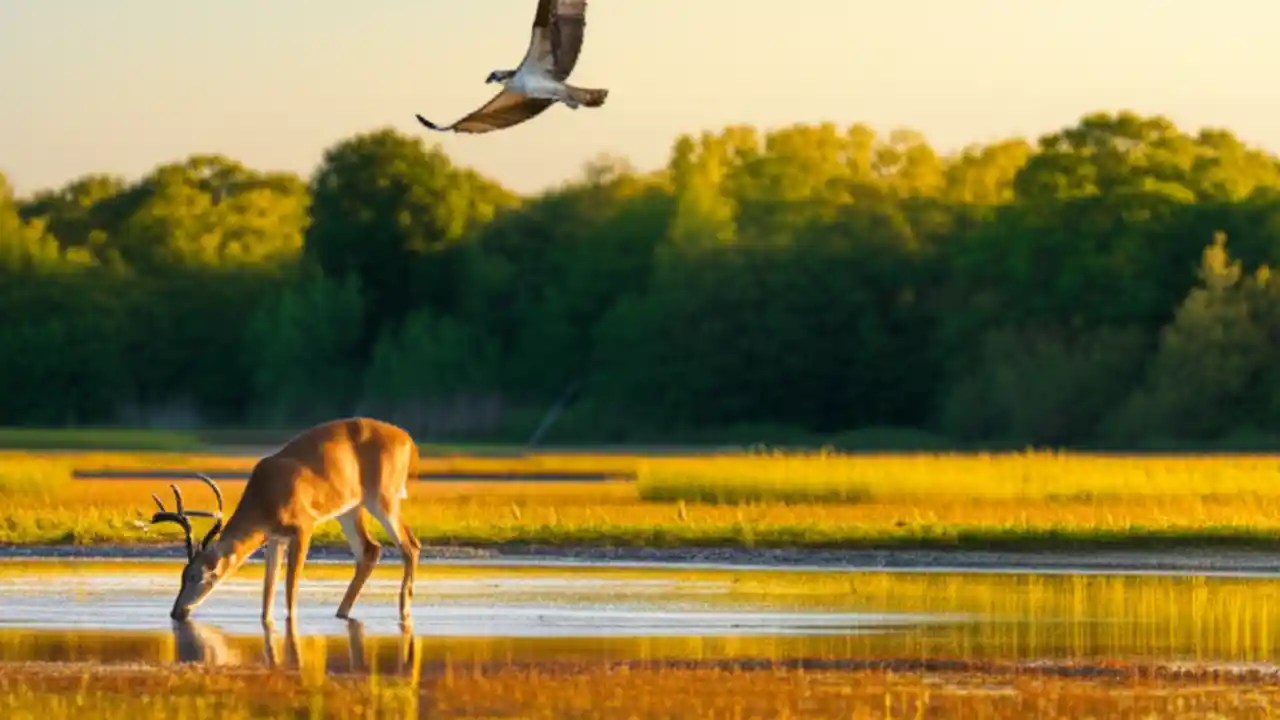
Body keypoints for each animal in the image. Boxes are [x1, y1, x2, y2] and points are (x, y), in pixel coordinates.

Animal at [146, 417, 422, 626]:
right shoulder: (274, 539)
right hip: (350, 510)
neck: (266, 494)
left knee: (410, 545)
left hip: (383, 501)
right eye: (182, 576)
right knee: (370, 550)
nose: (177, 612)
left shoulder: (303, 529)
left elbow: (290, 588)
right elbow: (267, 592)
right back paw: (342, 613)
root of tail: (407, 439)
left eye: (196, 575)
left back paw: (404, 612)